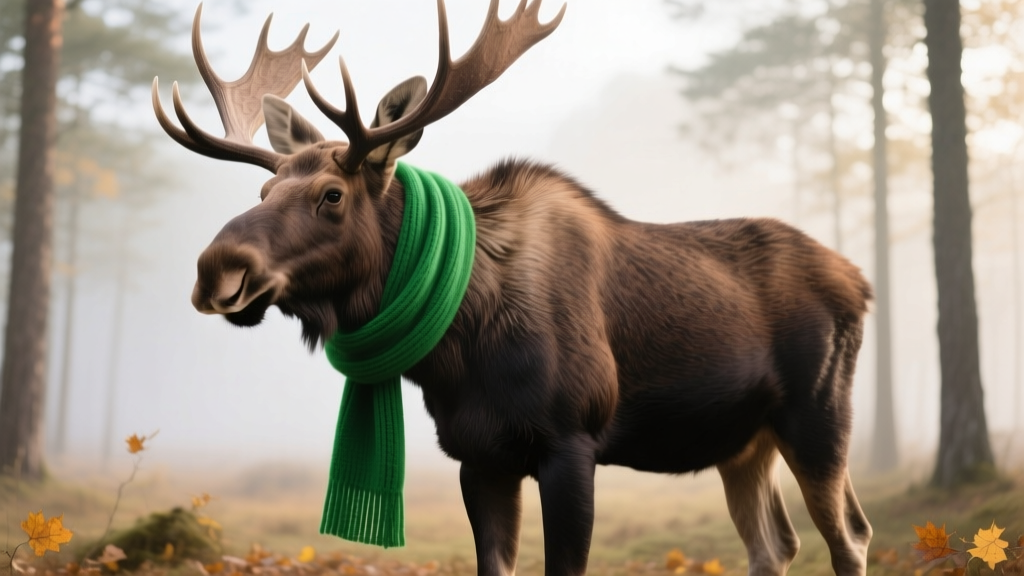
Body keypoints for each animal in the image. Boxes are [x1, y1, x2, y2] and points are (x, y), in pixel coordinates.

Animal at [152, 1, 873, 575]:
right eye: (264, 191)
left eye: (332, 194)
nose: (217, 267)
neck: (457, 350)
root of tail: (862, 280)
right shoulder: (479, 454)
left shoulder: (571, 441)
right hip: (742, 439)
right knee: (774, 543)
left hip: (817, 412)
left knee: (850, 535)